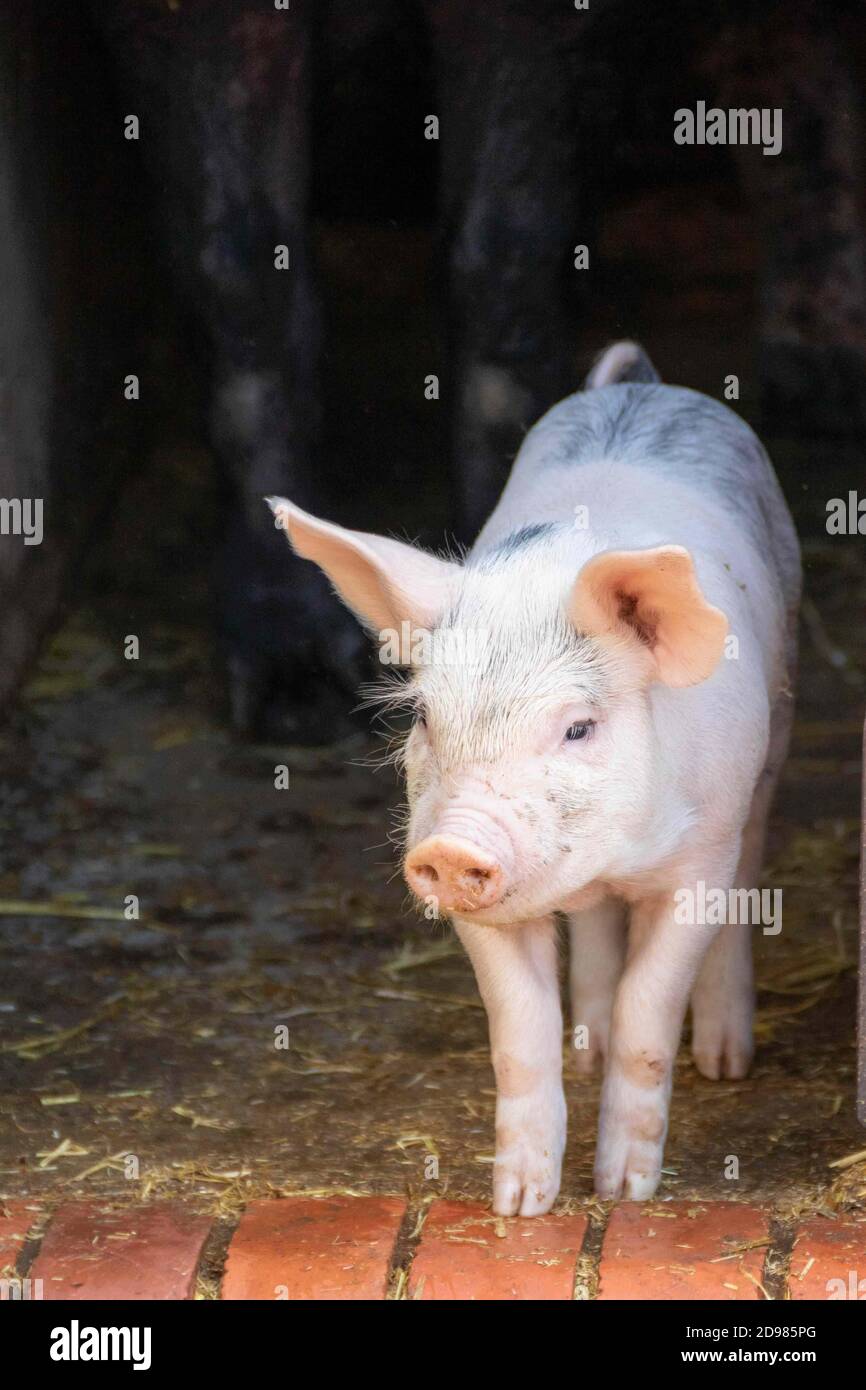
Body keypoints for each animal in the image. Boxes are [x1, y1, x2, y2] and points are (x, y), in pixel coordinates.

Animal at [268, 341, 800, 1213]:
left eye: (578, 727)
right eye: (425, 718)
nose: (453, 847)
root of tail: (644, 387)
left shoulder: (701, 856)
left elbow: (651, 1014)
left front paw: (625, 1193)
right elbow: (520, 1032)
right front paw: (519, 1205)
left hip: (773, 737)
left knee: (750, 863)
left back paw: (725, 1060)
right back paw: (589, 1047)